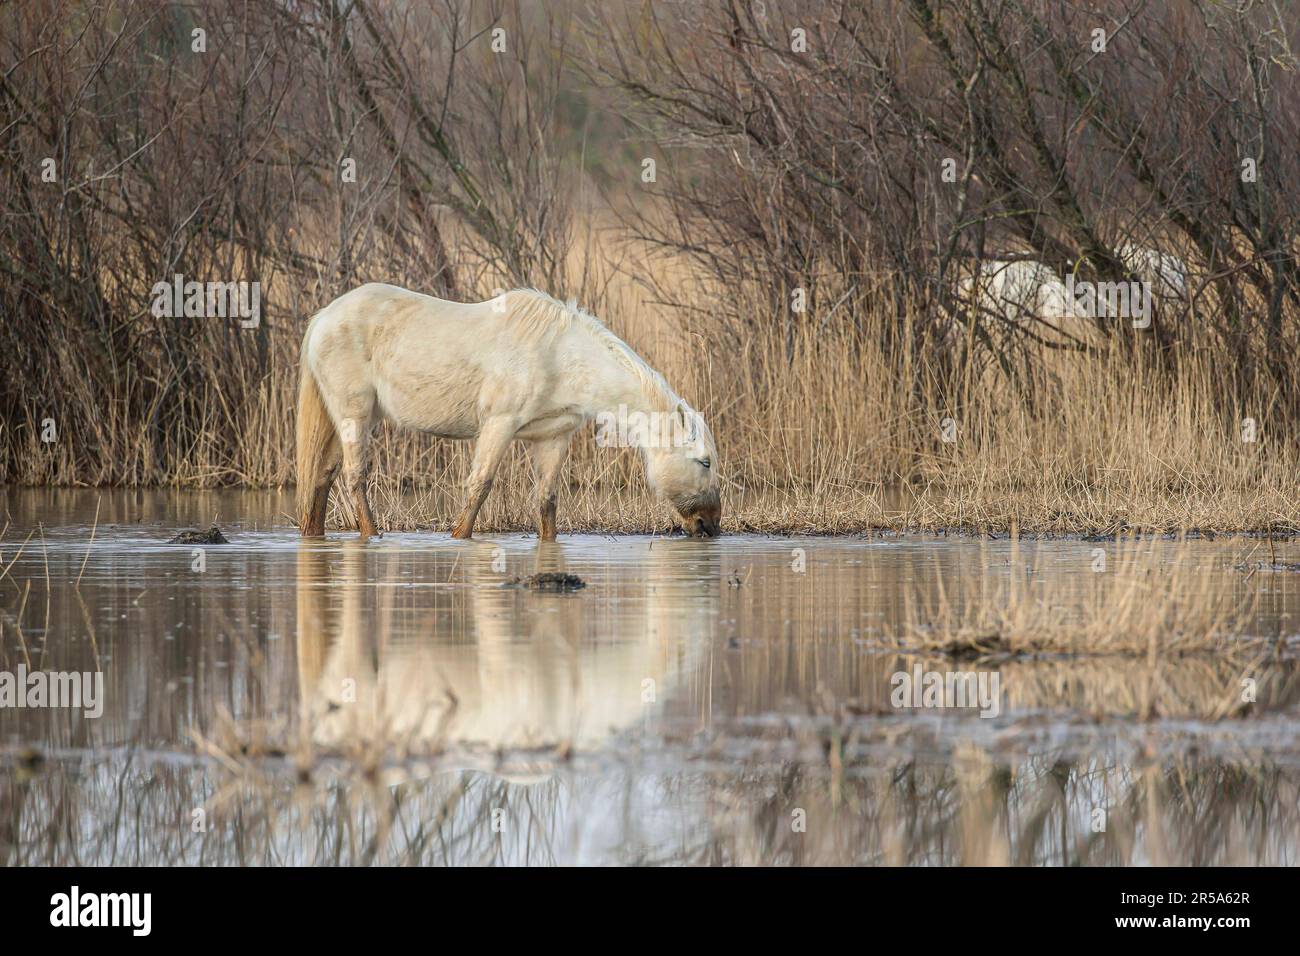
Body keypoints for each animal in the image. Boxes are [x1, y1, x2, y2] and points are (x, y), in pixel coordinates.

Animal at [295, 283, 722, 540]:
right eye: (703, 461)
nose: (711, 525)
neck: (561, 355)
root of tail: (323, 318)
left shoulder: (553, 437)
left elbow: (547, 501)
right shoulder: (499, 425)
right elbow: (479, 487)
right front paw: (458, 538)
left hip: (341, 417)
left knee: (323, 475)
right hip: (355, 414)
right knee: (354, 476)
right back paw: (372, 535)